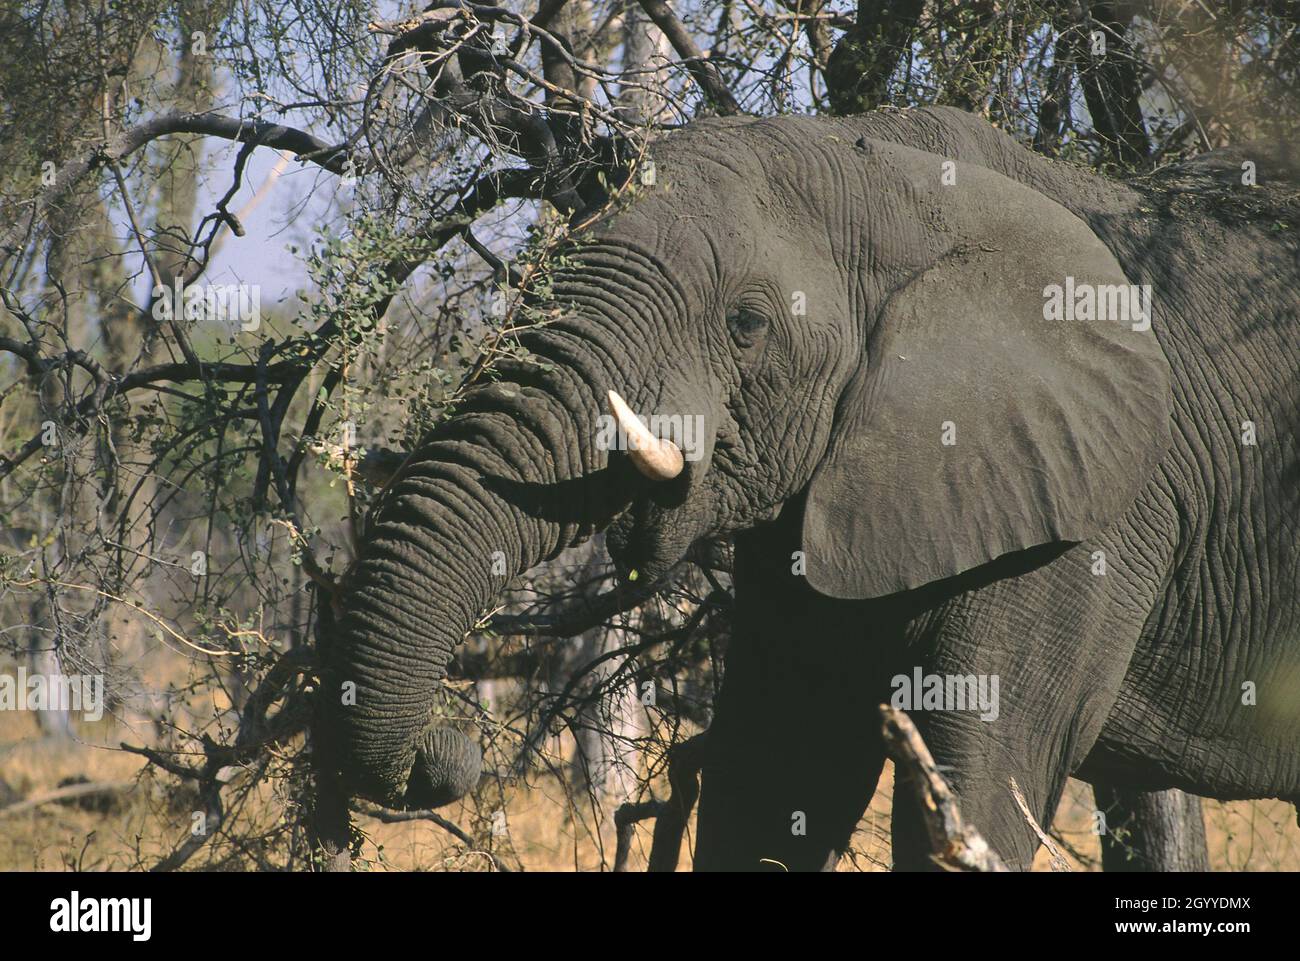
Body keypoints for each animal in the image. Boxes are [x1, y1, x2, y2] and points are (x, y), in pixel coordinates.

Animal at [321, 105, 1300, 871]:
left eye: (747, 324)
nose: (444, 751)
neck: (900, 175)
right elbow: (775, 771)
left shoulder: (1096, 512)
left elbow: (974, 778)